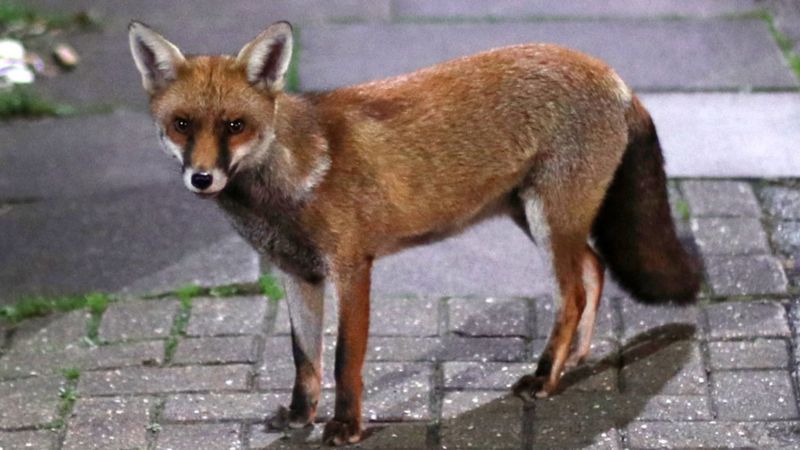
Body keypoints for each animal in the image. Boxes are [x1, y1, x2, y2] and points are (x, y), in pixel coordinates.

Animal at [129, 21, 701, 445]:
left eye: (234, 126)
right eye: (182, 124)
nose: (202, 178)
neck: (290, 183)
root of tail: (612, 74)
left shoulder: (351, 268)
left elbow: (344, 359)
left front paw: (345, 426)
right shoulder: (298, 274)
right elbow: (305, 359)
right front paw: (299, 418)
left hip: (548, 220)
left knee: (573, 293)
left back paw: (545, 376)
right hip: (537, 219)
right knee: (593, 269)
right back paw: (575, 361)